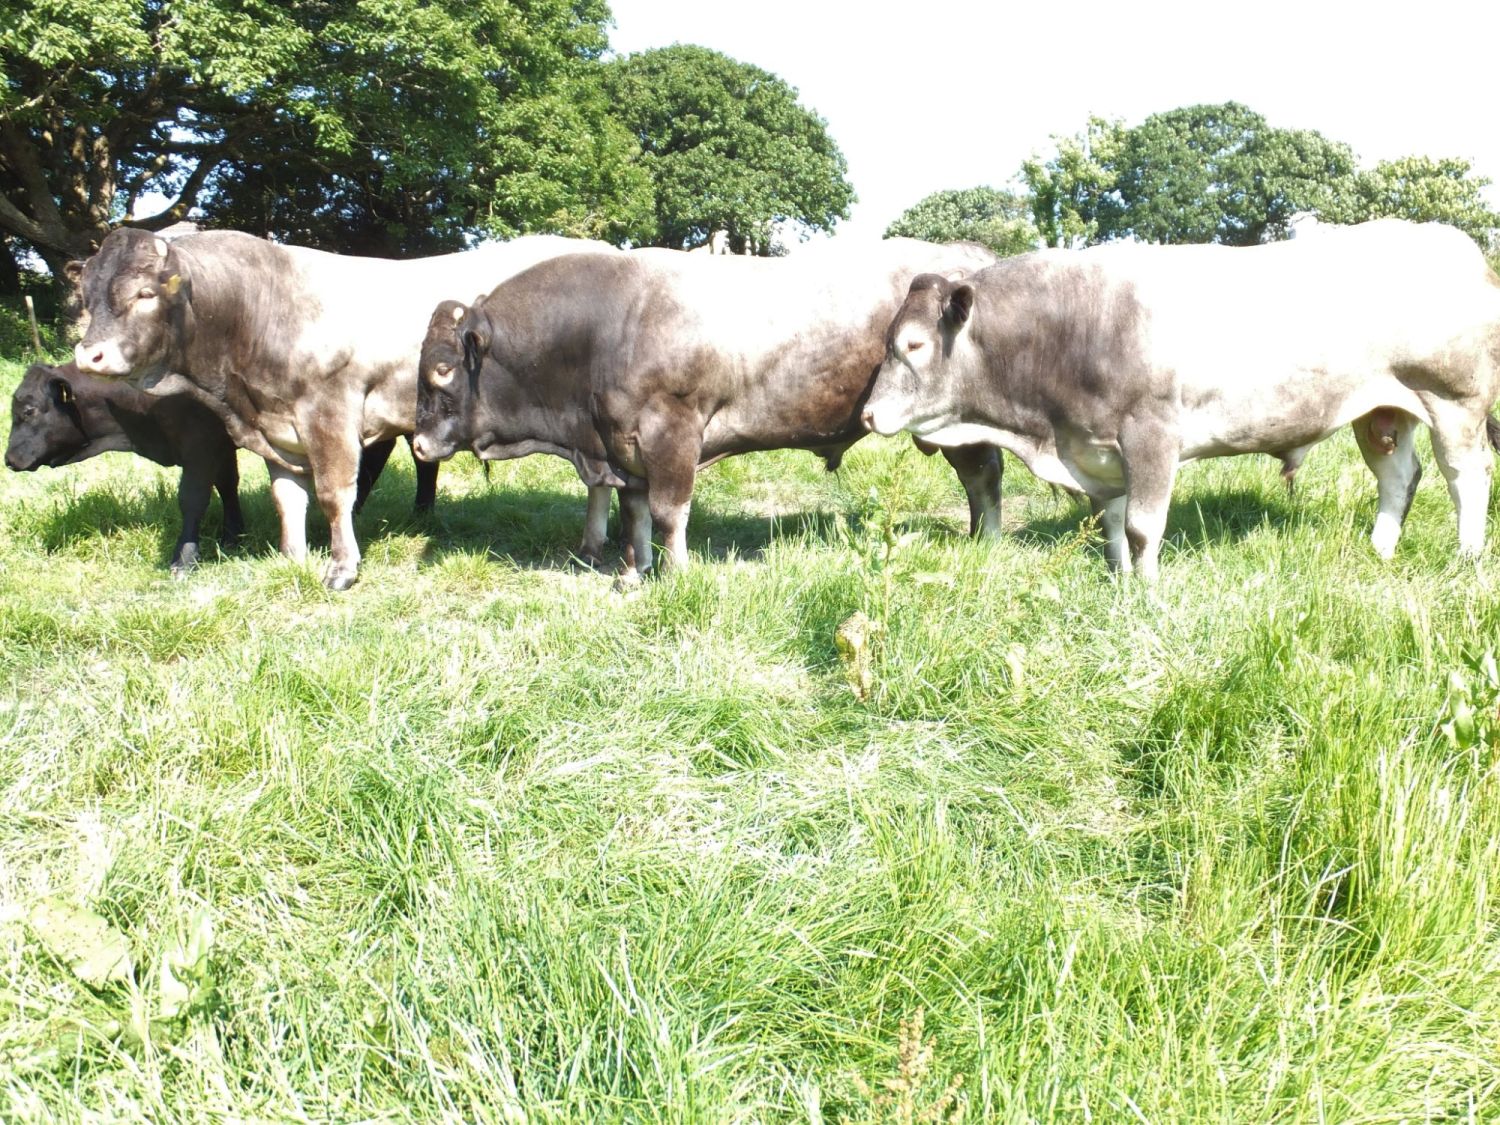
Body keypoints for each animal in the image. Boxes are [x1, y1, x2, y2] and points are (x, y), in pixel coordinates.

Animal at [69, 228, 615, 588]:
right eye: (86, 296)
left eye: (144, 293)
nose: (90, 355)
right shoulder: (278, 428)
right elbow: (287, 498)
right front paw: (291, 558)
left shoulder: (329, 414)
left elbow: (335, 495)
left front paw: (341, 568)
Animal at [411, 238, 1004, 575]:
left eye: (443, 371)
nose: (417, 442)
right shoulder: (623, 447)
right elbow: (635, 513)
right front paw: (633, 572)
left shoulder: (671, 432)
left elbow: (669, 511)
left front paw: (677, 574)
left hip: (959, 426)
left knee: (983, 476)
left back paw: (985, 543)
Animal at [860, 220, 1500, 580]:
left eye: (913, 344)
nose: (867, 413)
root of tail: (1459, 247)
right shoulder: (1097, 449)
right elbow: (1111, 523)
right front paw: (1121, 583)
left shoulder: (1151, 435)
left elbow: (1143, 526)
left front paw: (1147, 592)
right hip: (1381, 409)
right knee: (1399, 476)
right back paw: (1380, 549)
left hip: (1454, 400)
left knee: (1466, 477)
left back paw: (1466, 558)